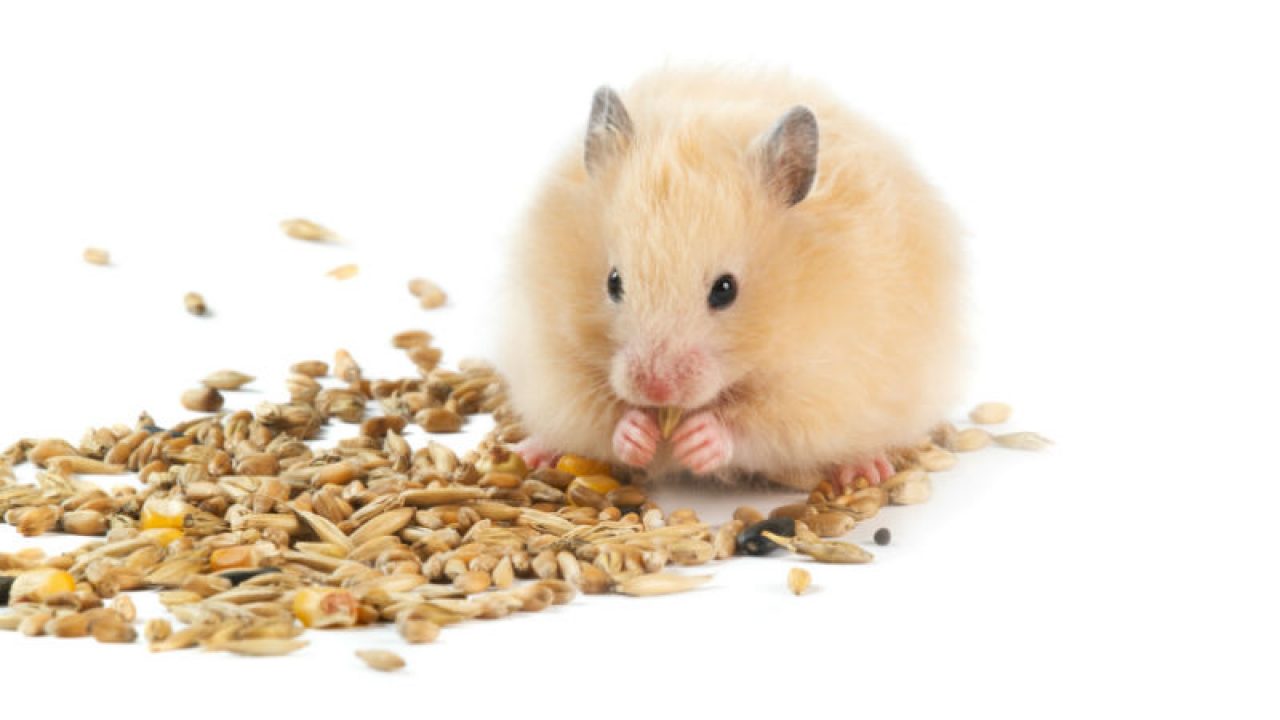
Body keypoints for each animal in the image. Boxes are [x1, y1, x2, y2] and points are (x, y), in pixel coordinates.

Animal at [499, 67, 963, 491]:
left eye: (725, 290)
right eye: (614, 282)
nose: (656, 389)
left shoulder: (826, 382)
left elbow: (758, 428)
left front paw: (699, 438)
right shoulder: (551, 358)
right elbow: (600, 416)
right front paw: (637, 431)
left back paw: (867, 469)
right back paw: (533, 452)